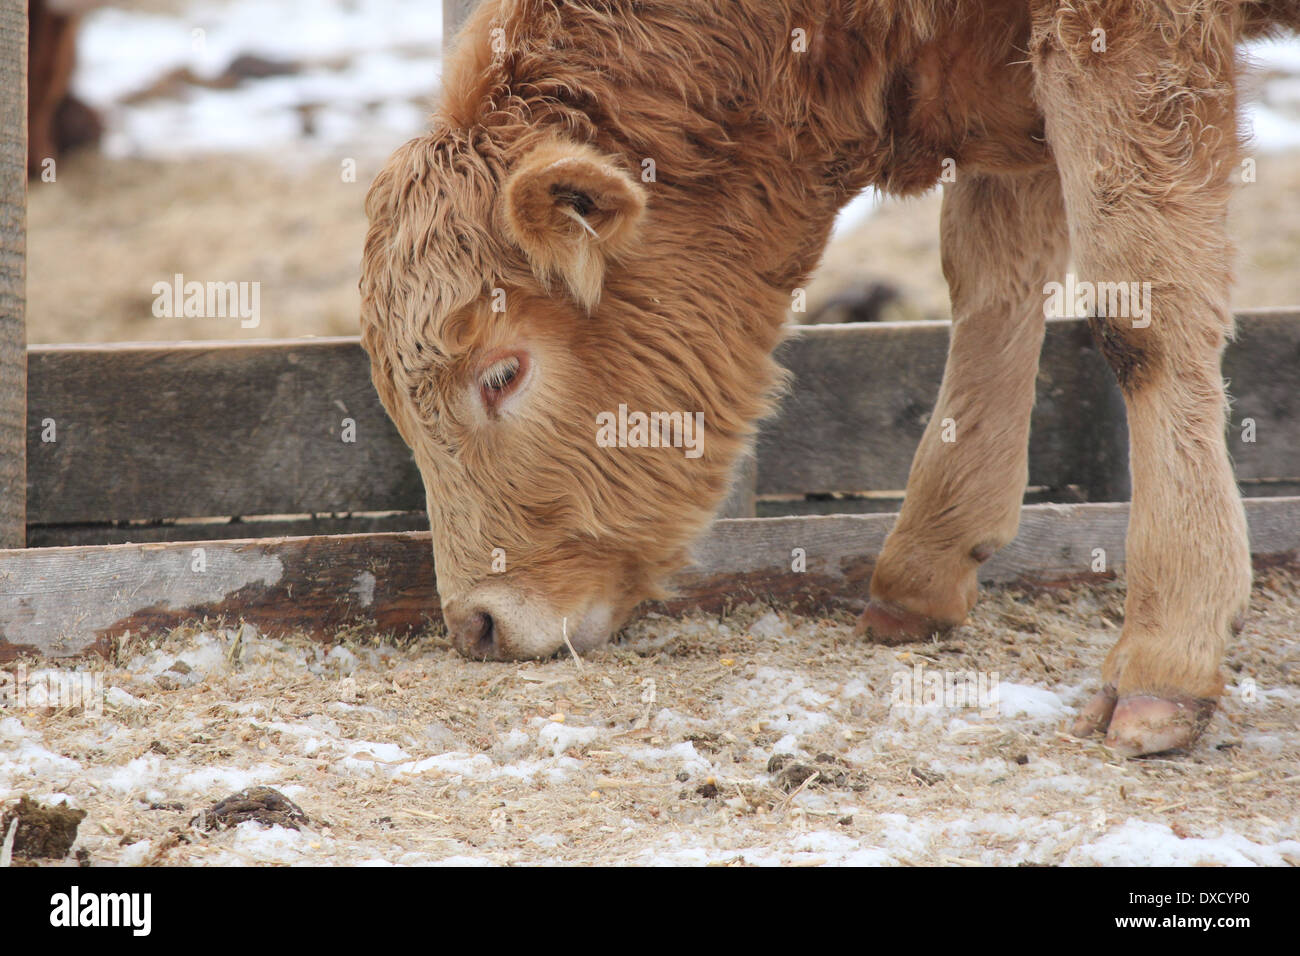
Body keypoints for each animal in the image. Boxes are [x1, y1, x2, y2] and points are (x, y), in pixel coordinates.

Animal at [360, 0, 1300, 757]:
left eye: (502, 372)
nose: (478, 624)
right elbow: (994, 277)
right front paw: (927, 563)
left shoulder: (1132, 37)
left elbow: (1139, 315)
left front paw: (1166, 655)